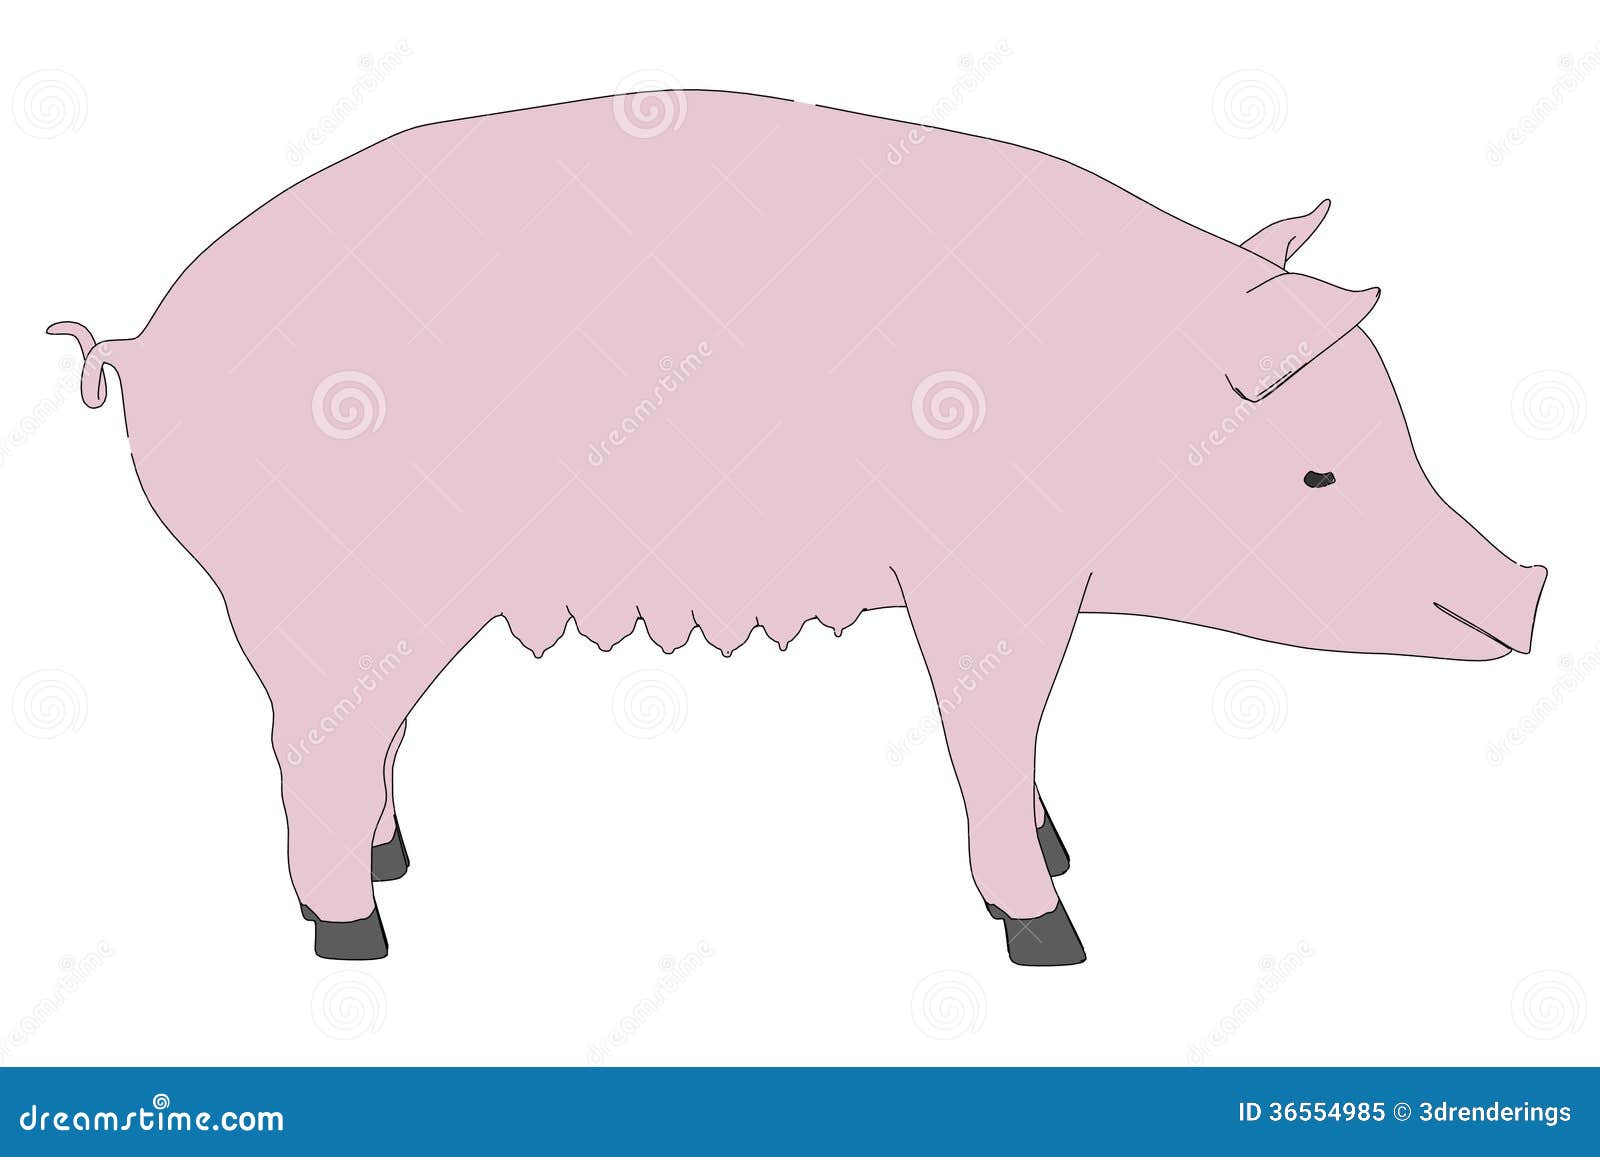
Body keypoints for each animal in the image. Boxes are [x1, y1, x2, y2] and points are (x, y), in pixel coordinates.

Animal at [50, 89, 1546, 964]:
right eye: (1320, 480)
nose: (1532, 592)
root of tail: (144, 341)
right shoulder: (981, 573)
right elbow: (991, 726)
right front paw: (1052, 929)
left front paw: (1061, 851)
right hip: (333, 586)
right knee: (309, 740)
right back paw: (357, 936)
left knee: (359, 732)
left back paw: (385, 863)